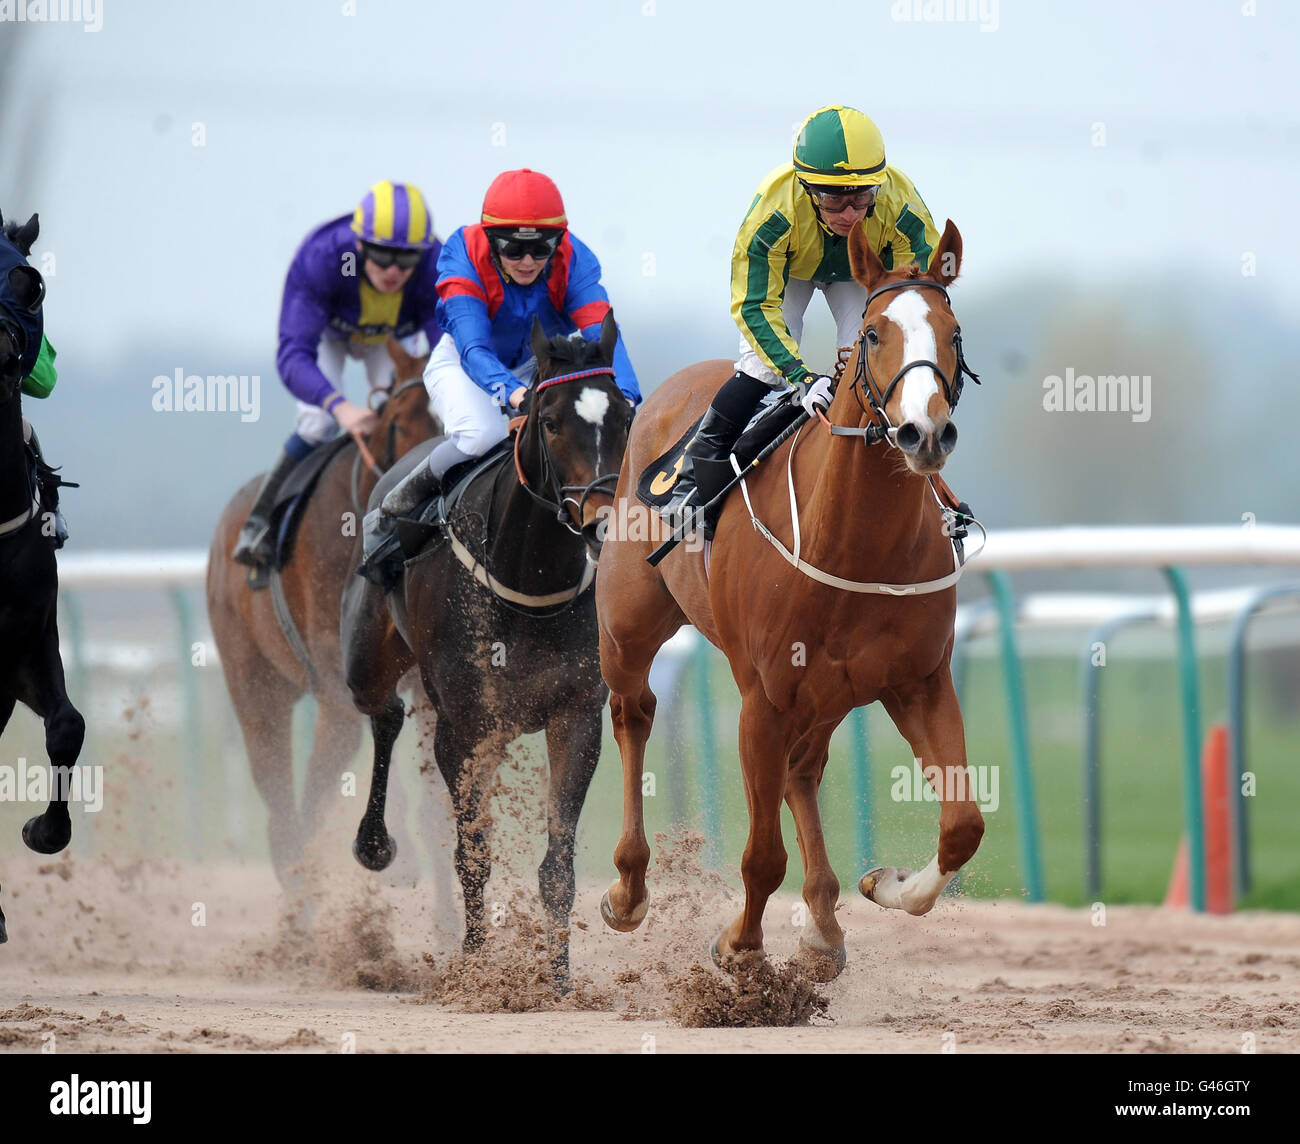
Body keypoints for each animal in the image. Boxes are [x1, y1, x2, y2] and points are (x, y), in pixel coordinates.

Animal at [341, 312, 634, 985]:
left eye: (625, 416)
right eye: (549, 420)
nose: (603, 521)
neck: (528, 576)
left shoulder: (576, 714)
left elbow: (557, 866)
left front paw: (558, 978)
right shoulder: (465, 725)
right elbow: (471, 851)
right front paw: (476, 967)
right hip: (368, 655)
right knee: (384, 711)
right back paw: (374, 843)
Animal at [596, 220, 985, 978]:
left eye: (953, 333)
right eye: (872, 333)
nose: (923, 433)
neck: (857, 543)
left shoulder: (920, 680)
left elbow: (962, 825)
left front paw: (883, 885)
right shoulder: (762, 698)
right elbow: (761, 857)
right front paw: (740, 948)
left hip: (829, 692)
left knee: (803, 771)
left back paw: (824, 924)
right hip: (628, 626)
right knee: (634, 713)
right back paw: (628, 887)